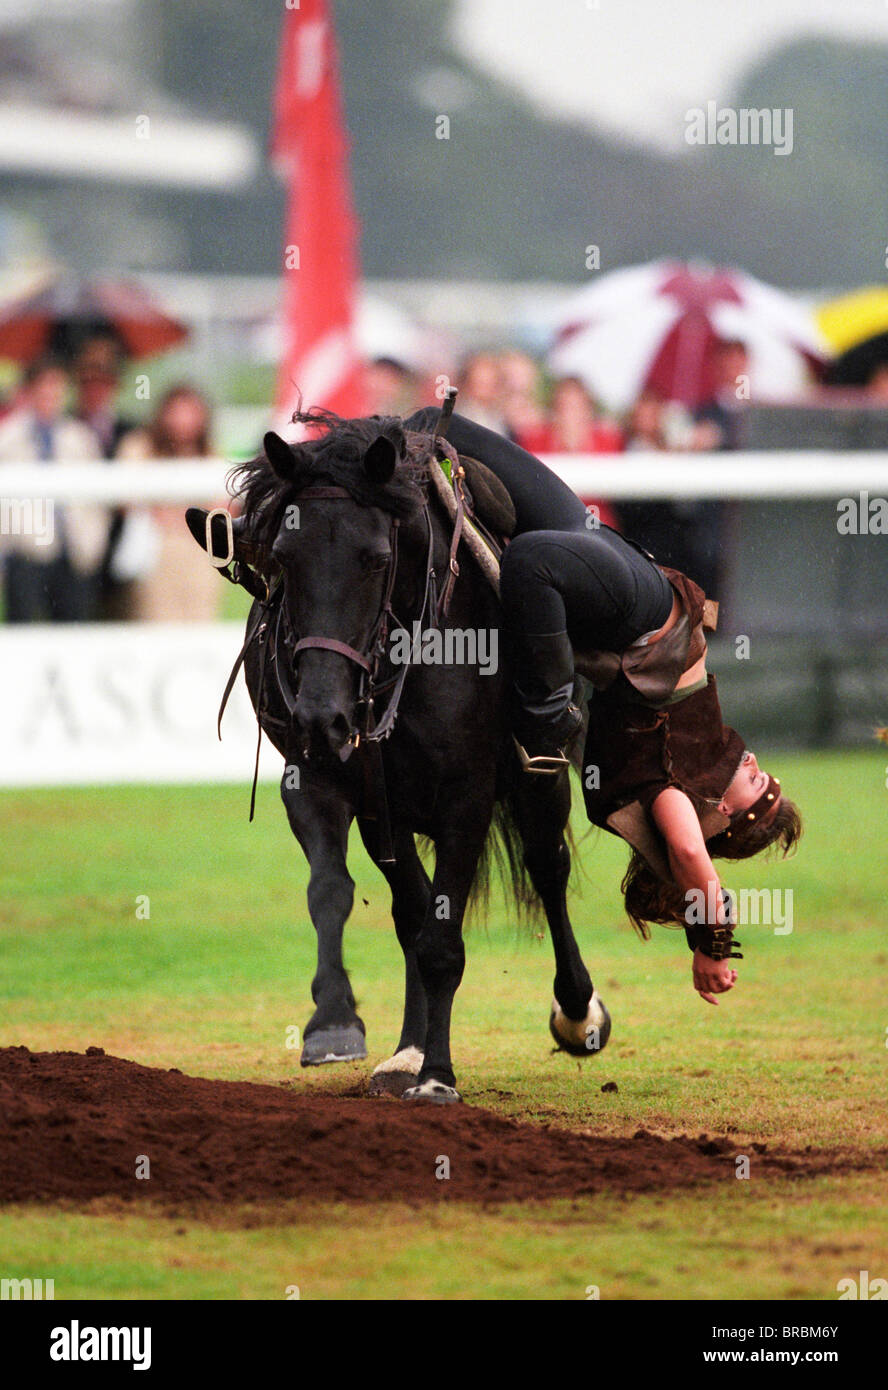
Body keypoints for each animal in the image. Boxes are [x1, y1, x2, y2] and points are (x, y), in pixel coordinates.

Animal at [186, 409, 611, 1102]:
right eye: (282, 556)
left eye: (376, 558)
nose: (320, 713)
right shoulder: (323, 783)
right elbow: (335, 893)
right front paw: (335, 1024)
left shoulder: (466, 796)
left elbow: (444, 940)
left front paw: (438, 1075)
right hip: (388, 812)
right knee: (411, 907)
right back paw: (407, 1049)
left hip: (537, 773)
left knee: (547, 868)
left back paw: (577, 1012)